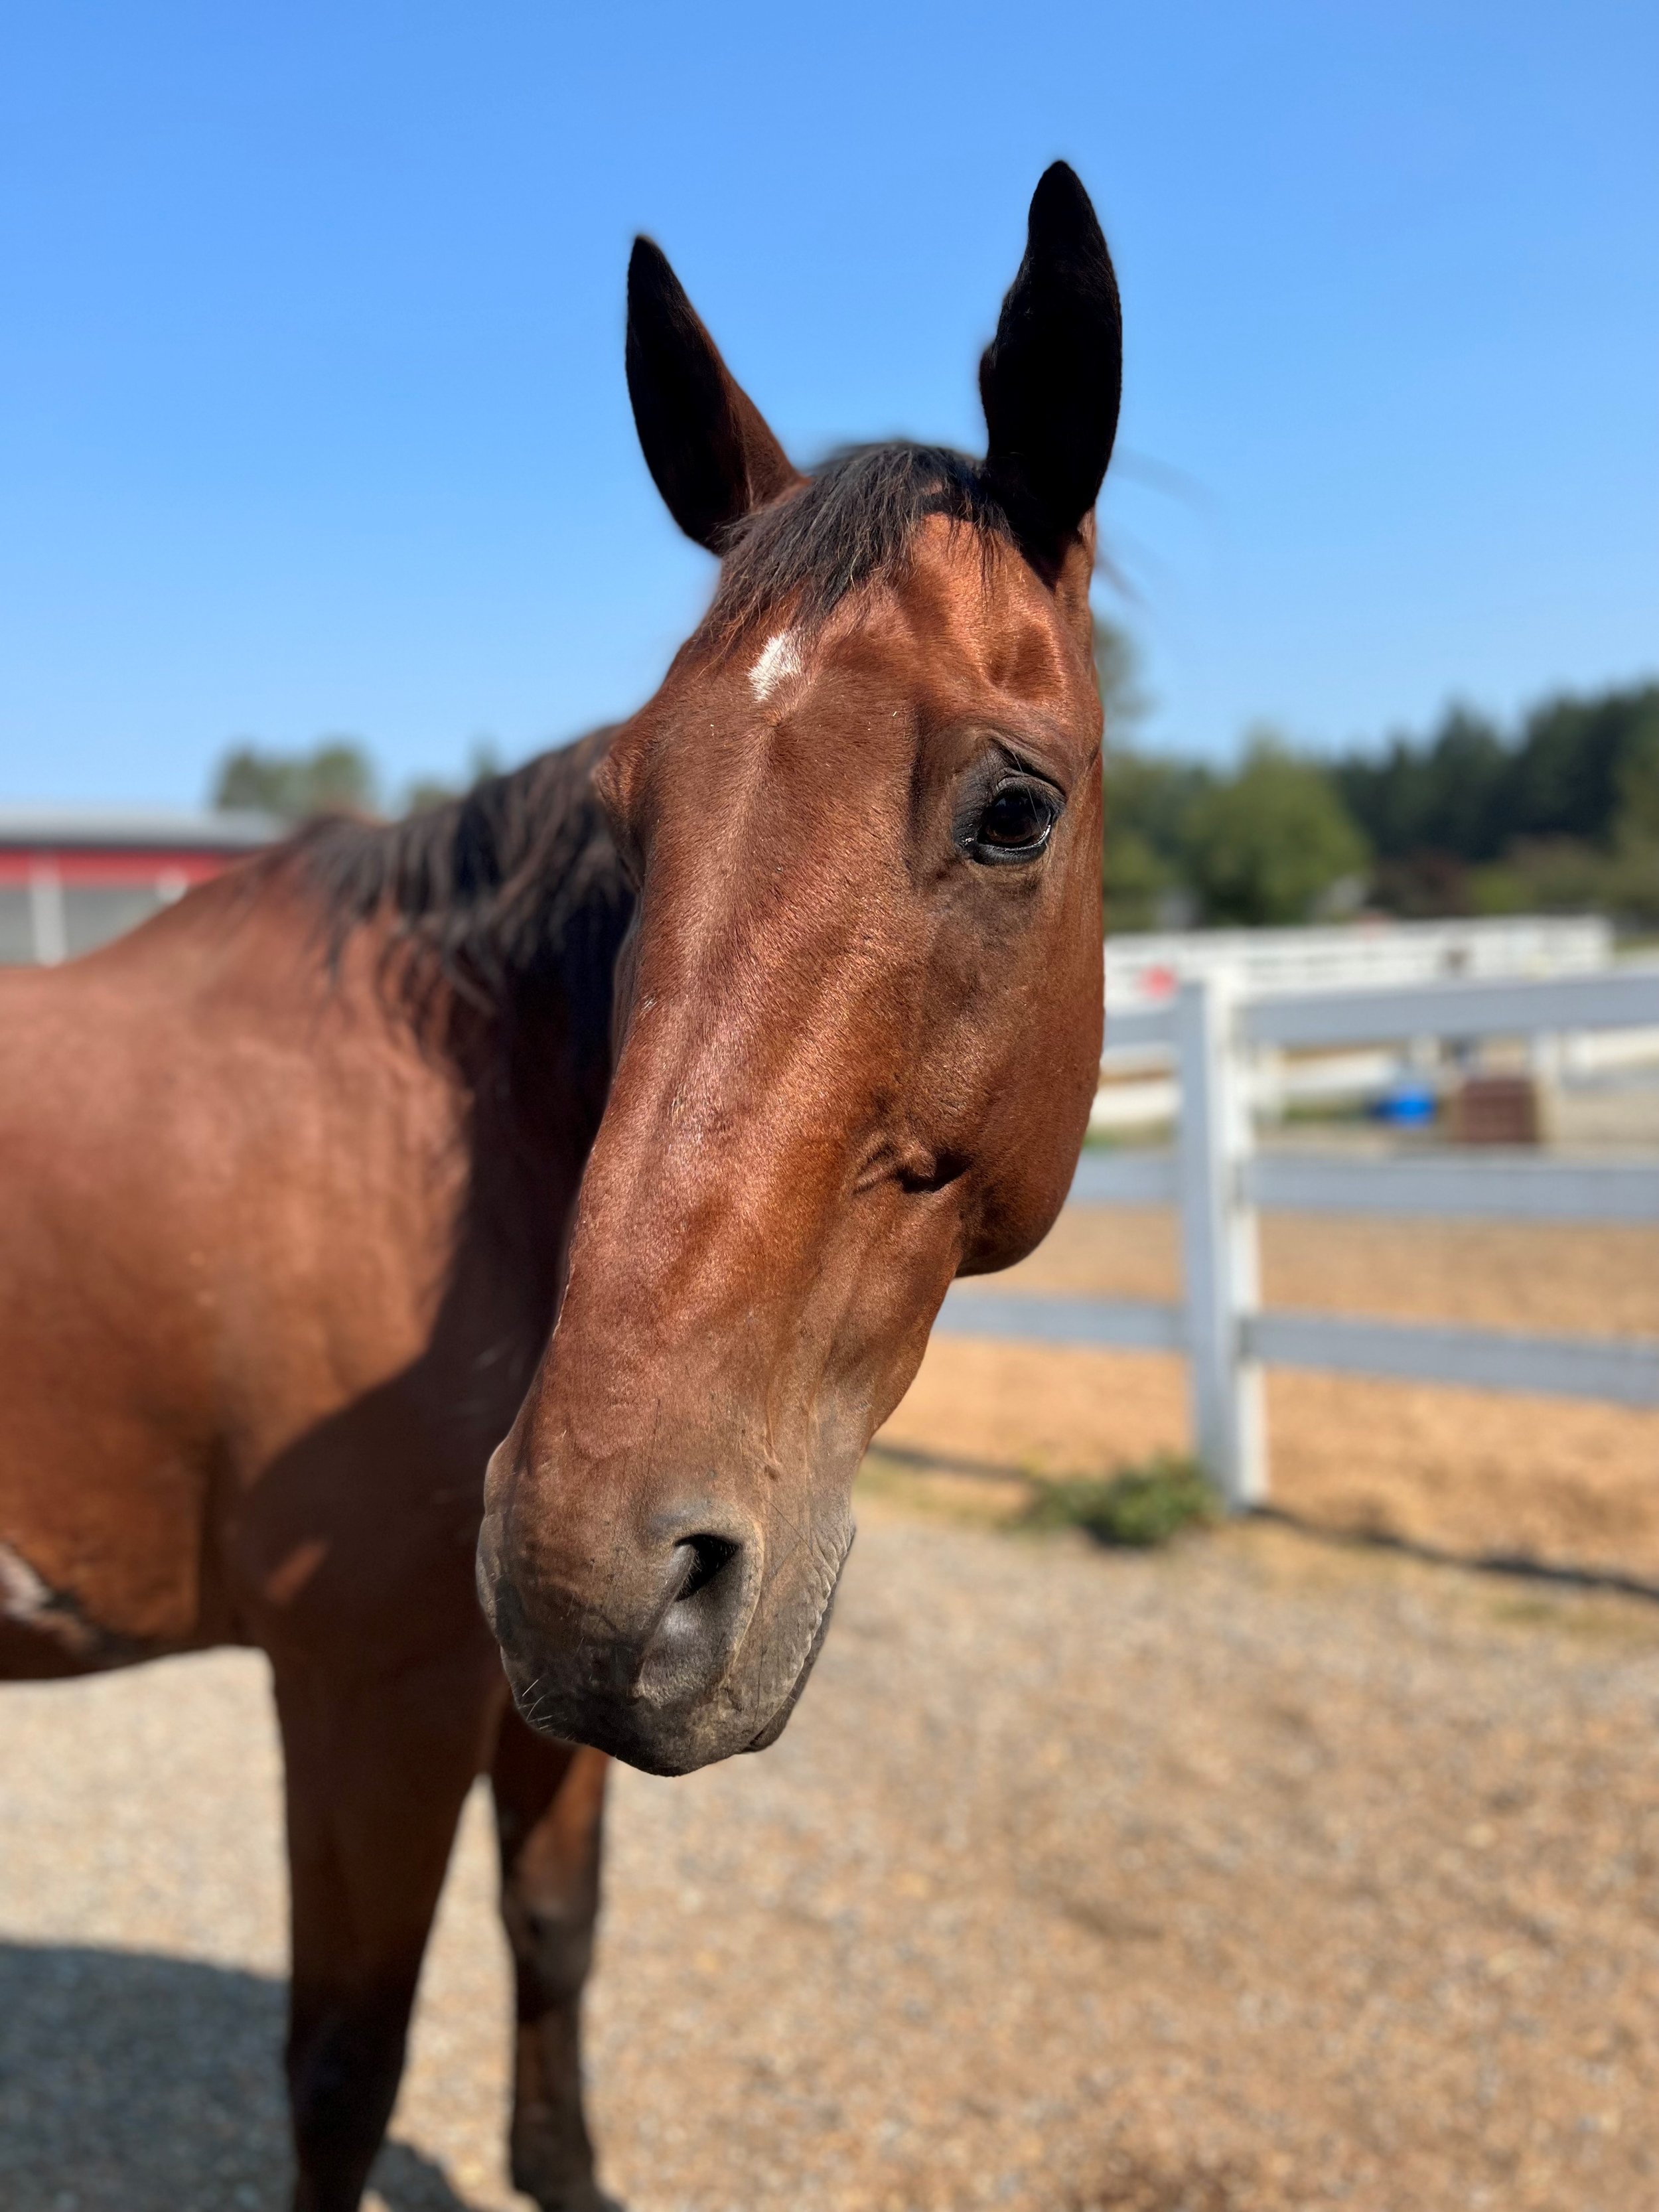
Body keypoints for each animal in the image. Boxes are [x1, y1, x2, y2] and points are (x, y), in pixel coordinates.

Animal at [0, 162, 1122, 2211]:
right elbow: (342, 2063)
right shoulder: (369, 1689)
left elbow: (554, 1933)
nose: (586, 1551)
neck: (460, 1142)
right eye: (627, 807)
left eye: (1017, 807)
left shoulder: (539, 1685)